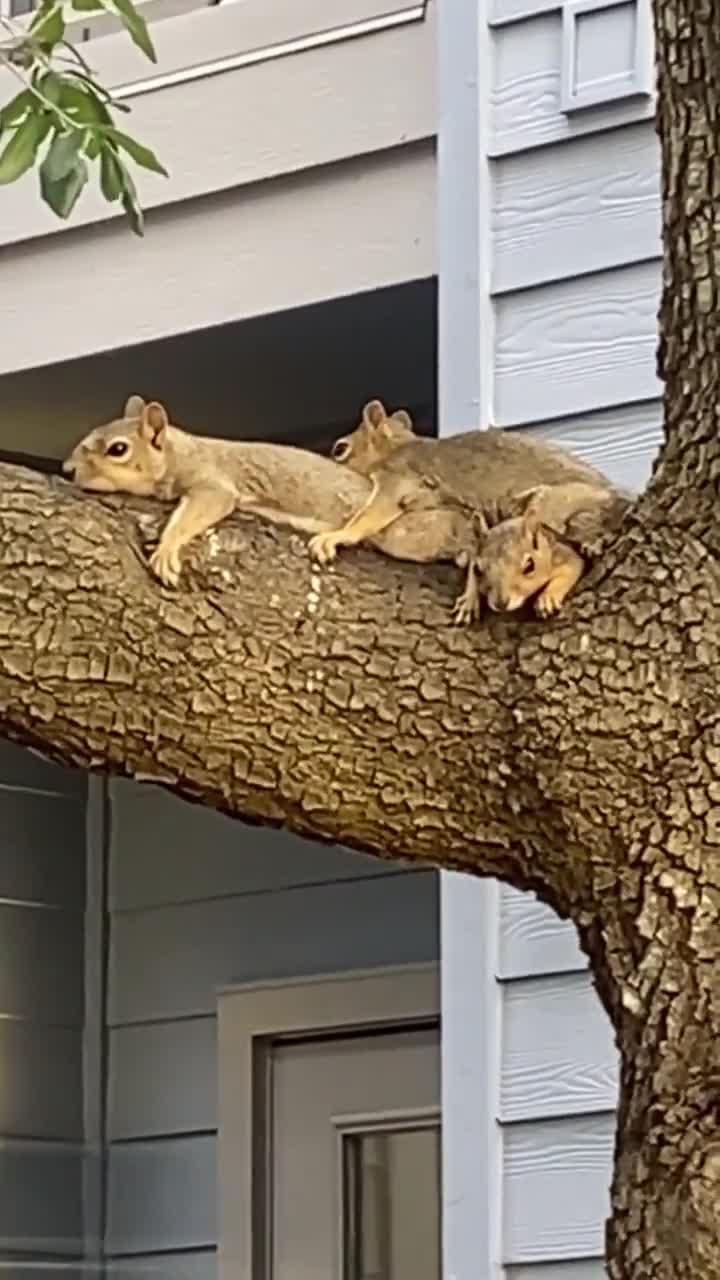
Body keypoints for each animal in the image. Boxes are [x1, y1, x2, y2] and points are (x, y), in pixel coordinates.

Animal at [453, 481, 632, 623]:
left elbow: (570, 569)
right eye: (478, 570)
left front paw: (547, 598)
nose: (501, 603)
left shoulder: (564, 553)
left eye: (529, 566)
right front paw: (468, 601)